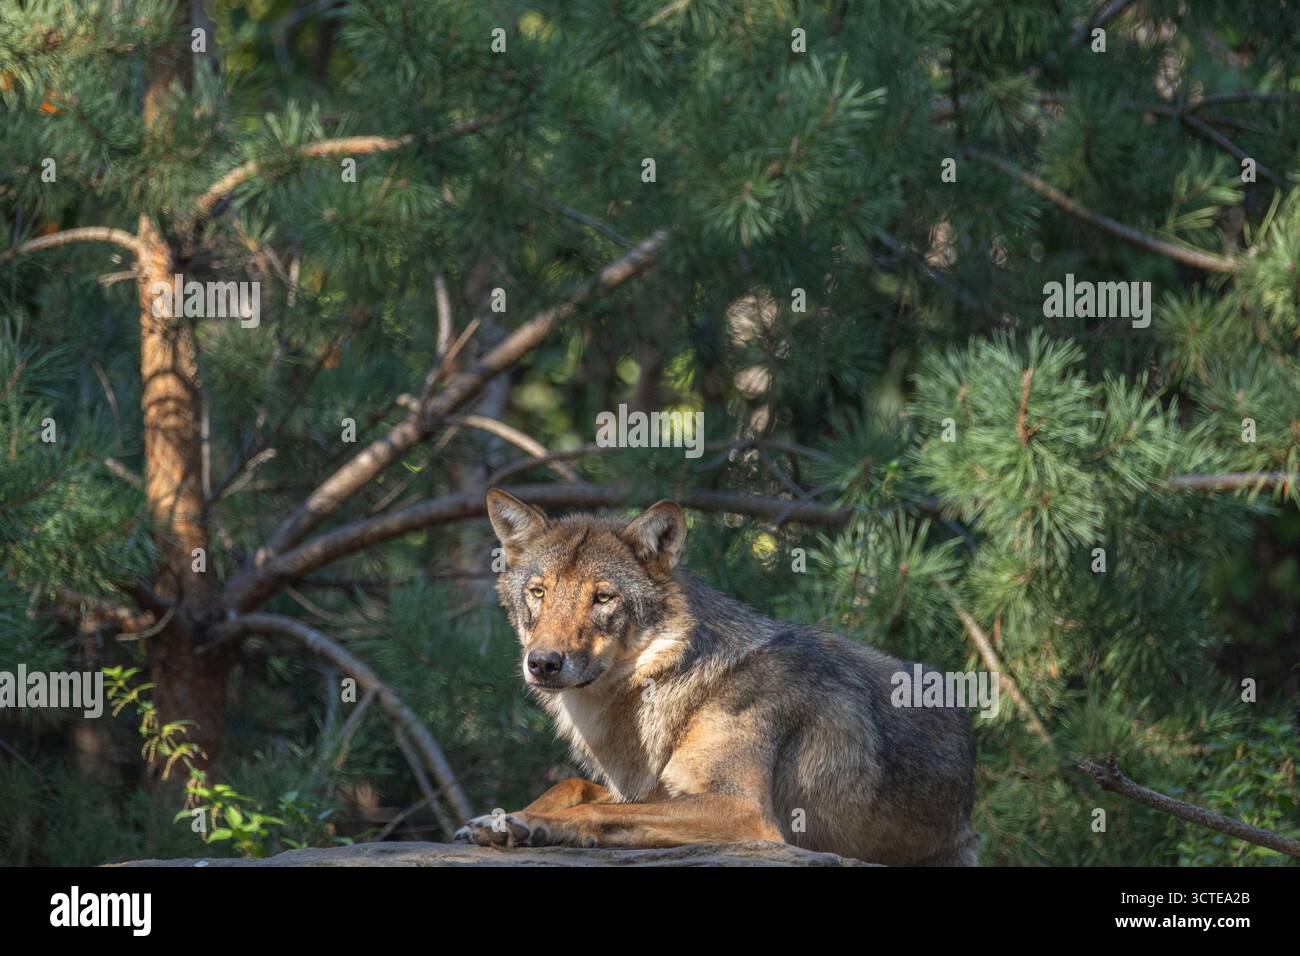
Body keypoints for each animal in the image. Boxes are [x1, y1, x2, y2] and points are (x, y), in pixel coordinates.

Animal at [454, 489, 979, 865]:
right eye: (539, 592)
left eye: (602, 598)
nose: (543, 662)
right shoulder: (650, 789)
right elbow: (573, 784)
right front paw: (502, 818)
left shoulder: (743, 811)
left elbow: (599, 809)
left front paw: (528, 825)